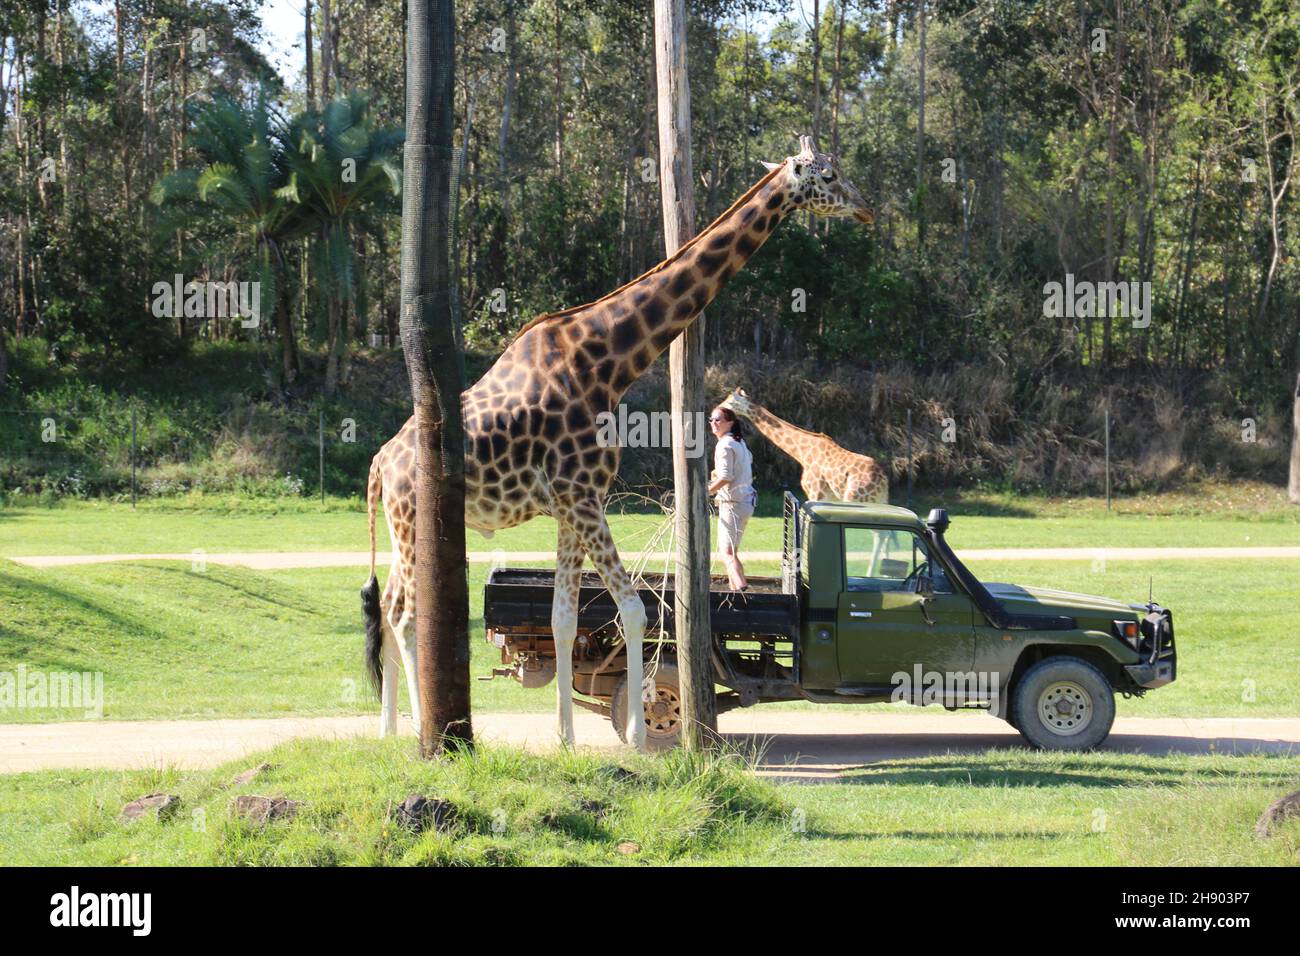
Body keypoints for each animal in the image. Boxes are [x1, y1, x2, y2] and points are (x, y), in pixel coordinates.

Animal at [721, 387, 889, 504]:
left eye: (730, 402)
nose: (717, 408)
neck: (802, 454)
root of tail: (882, 478)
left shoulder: (816, 494)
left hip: (854, 497)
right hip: (880, 500)